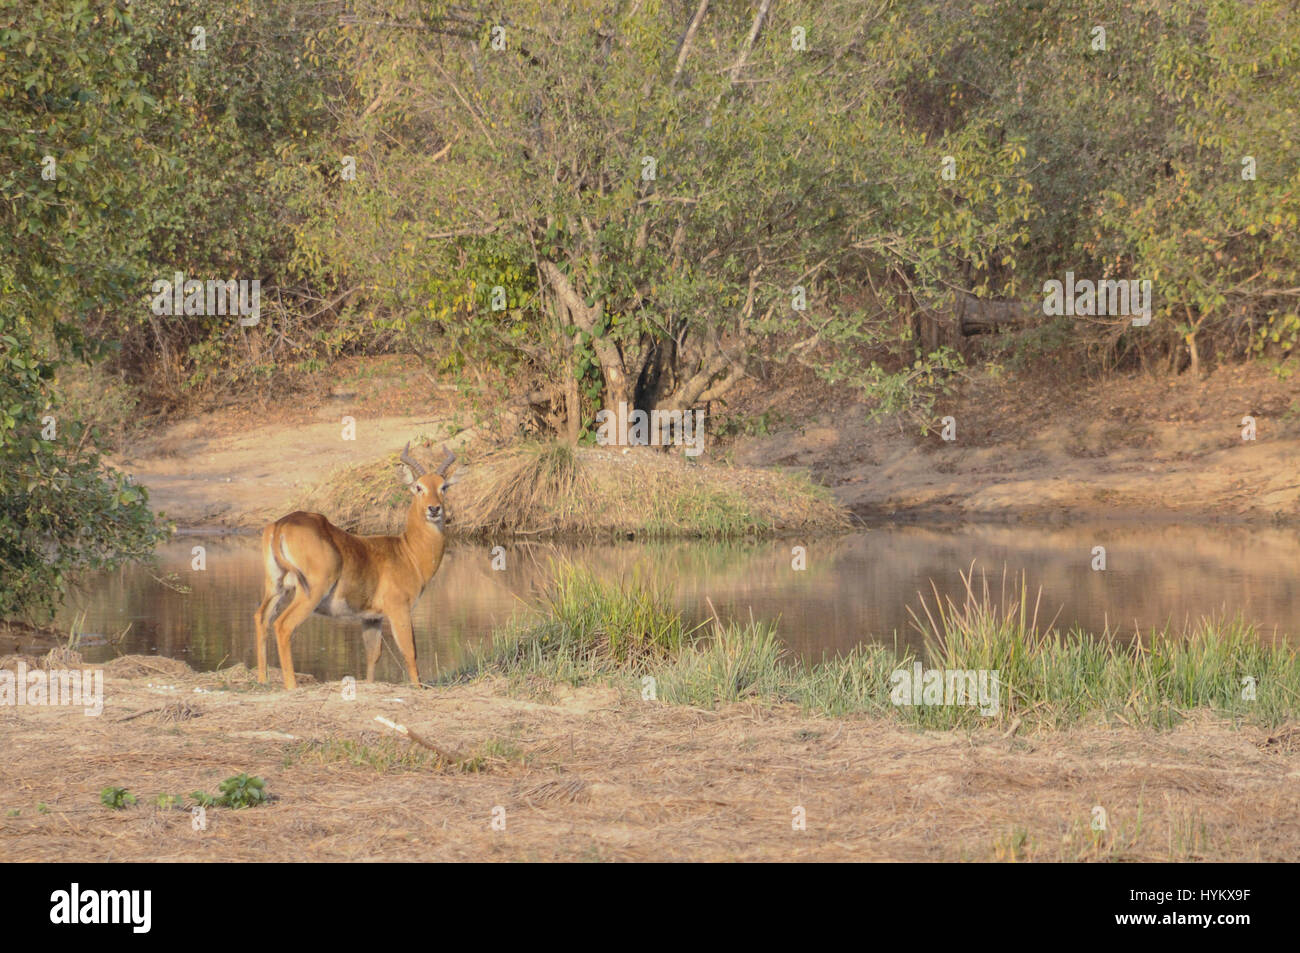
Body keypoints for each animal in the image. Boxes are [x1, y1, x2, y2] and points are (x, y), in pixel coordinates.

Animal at [254, 443, 459, 690]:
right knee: (283, 625)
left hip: (275, 586)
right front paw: (418, 688)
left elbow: (373, 654)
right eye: (418, 487)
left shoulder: (371, 618)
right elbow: (410, 651)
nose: (434, 509)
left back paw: (262, 680)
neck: (408, 552)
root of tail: (280, 526)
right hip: (310, 591)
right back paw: (291, 685)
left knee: (261, 618)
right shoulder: (399, 609)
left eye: (443, 486)